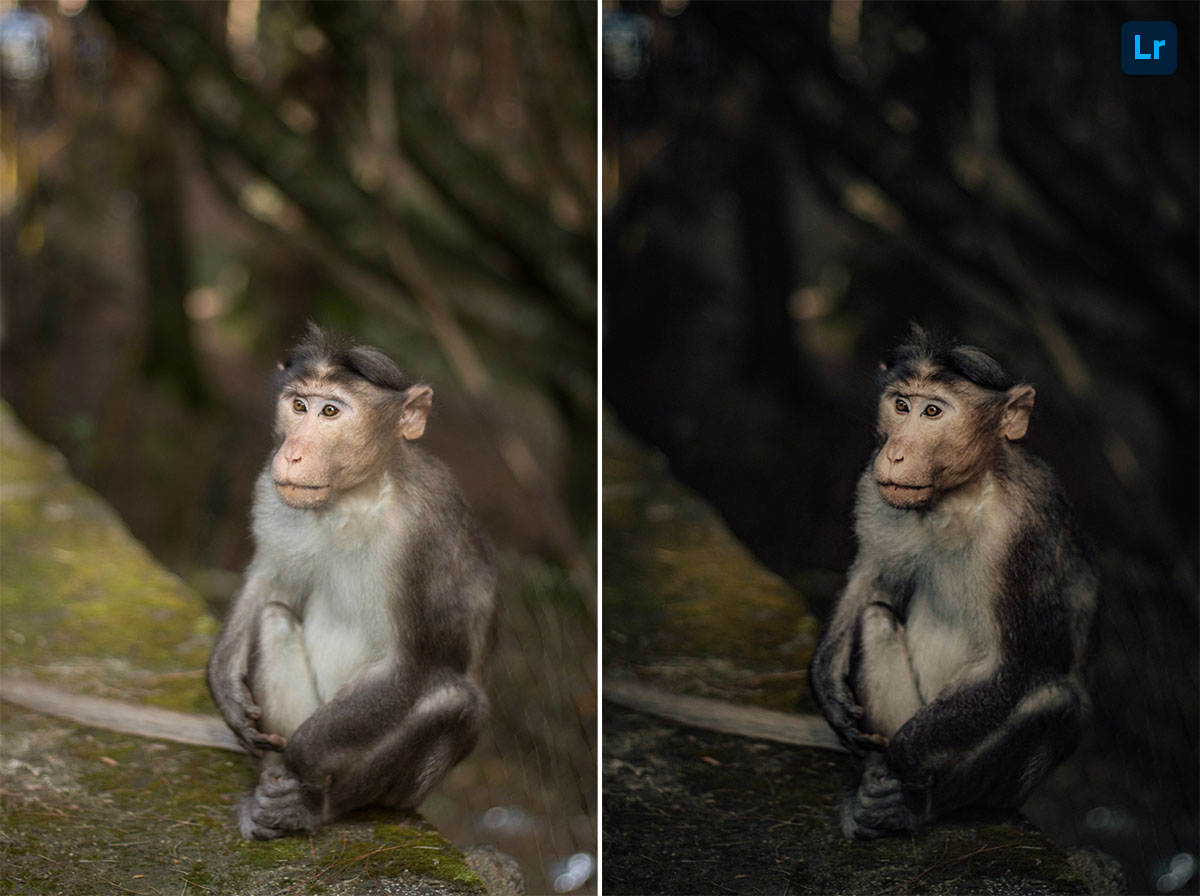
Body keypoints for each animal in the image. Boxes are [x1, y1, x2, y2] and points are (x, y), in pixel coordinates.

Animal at [204, 326, 498, 840]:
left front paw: (301, 761)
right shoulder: (270, 491)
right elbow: (270, 580)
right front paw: (224, 687)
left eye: (330, 412)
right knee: (274, 619)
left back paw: (311, 803)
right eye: (299, 405)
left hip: (404, 791)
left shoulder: (423, 531)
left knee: (451, 700)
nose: (292, 453)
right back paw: (272, 785)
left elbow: (409, 667)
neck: (352, 498)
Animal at [808, 325, 1096, 840]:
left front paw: (900, 764)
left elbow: (1007, 667)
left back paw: (911, 804)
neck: (956, 499)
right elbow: (872, 577)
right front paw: (826, 686)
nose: (894, 453)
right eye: (901, 405)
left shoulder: (1020, 533)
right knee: (875, 619)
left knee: (1053, 700)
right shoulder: (873, 491)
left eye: (933, 412)